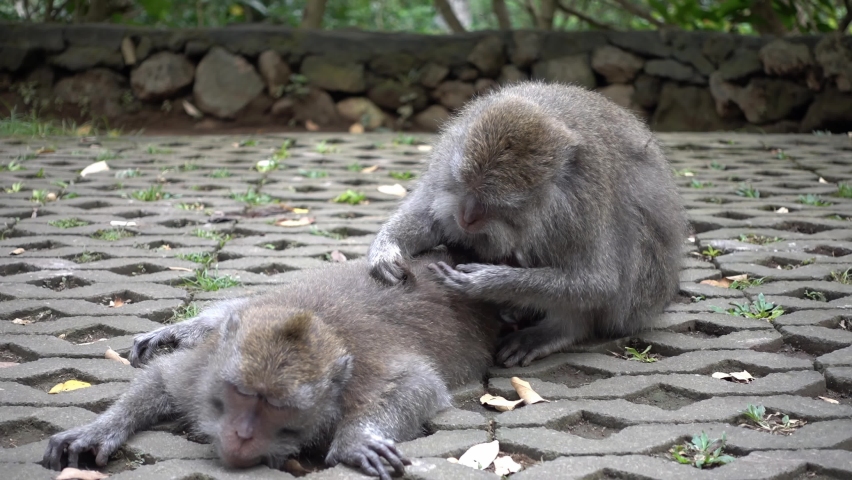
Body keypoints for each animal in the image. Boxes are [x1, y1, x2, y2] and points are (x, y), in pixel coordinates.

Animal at [43, 250, 501, 480]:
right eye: (240, 394)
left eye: (278, 408)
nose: (242, 436)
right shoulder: (204, 371)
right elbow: (165, 378)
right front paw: (98, 430)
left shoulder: (364, 371)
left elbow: (418, 384)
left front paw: (354, 439)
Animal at [366, 81, 689, 368]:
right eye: (466, 185)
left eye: (499, 204)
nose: (467, 217)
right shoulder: (446, 162)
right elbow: (431, 216)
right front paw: (385, 250)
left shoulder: (580, 205)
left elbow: (599, 281)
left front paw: (487, 283)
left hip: (642, 295)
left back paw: (559, 330)